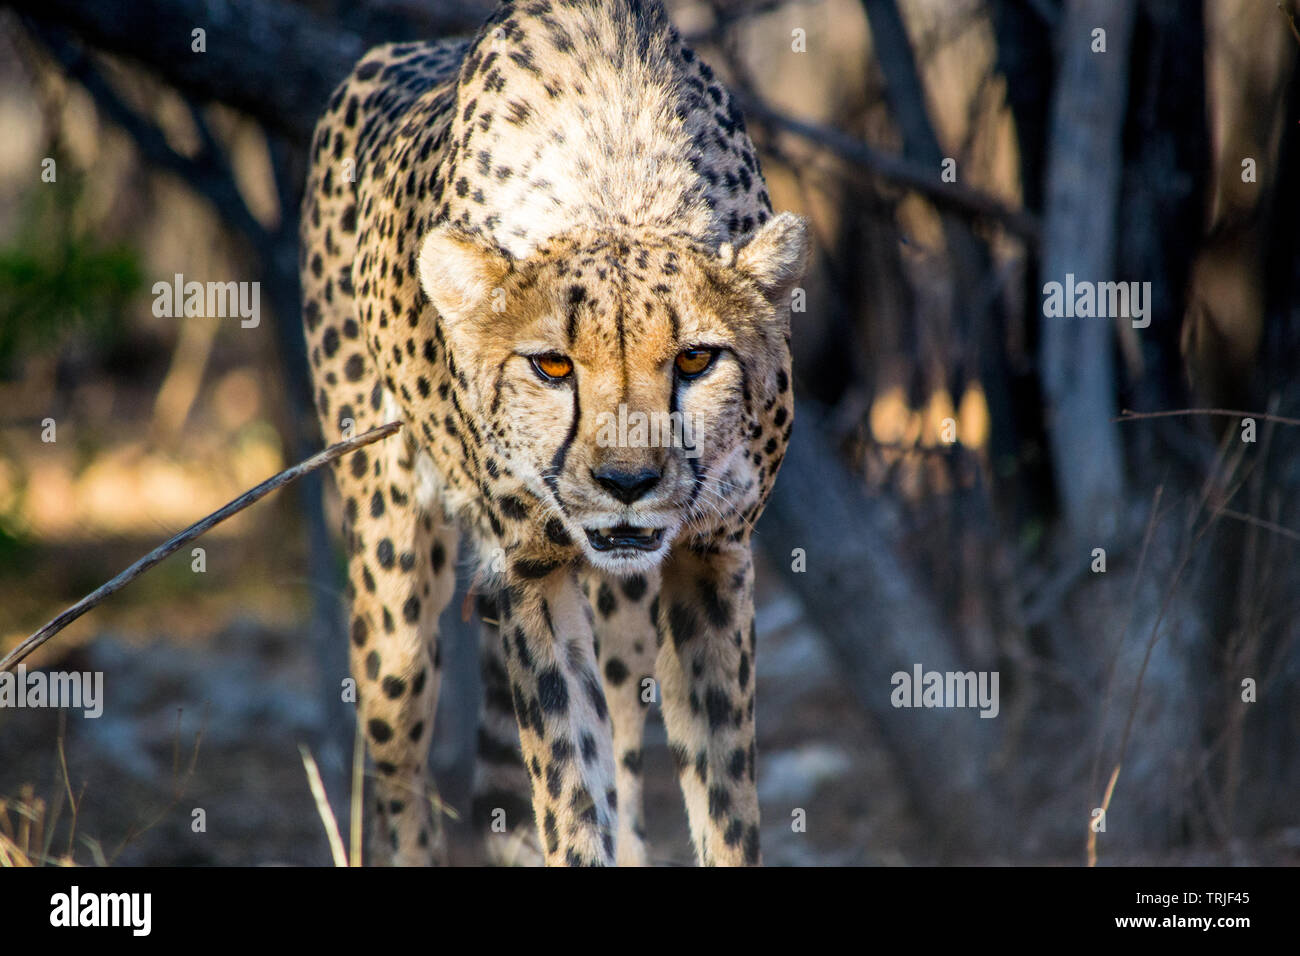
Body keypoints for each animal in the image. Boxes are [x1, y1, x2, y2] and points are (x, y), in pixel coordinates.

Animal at [300, 0, 806, 867]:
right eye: (553, 366)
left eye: (696, 359)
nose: (627, 484)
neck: (619, 184)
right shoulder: (533, 567)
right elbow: (569, 790)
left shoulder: (712, 555)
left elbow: (725, 800)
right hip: (393, 581)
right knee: (400, 769)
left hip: (623, 611)